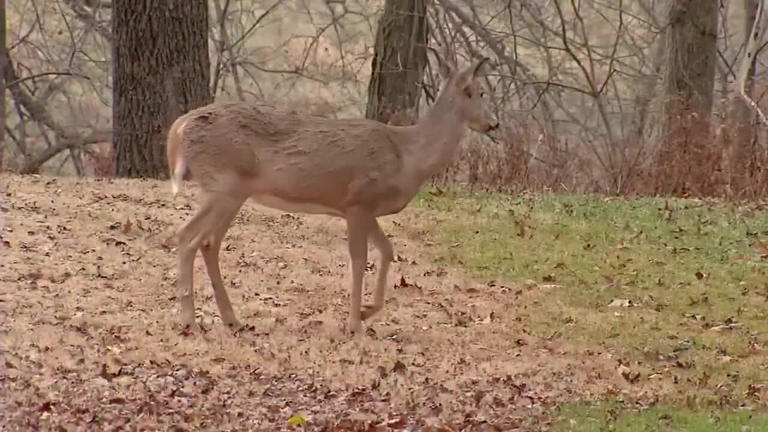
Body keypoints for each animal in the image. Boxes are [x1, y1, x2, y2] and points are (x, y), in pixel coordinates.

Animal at [165, 51, 498, 335]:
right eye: (478, 92)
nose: (494, 123)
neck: (409, 157)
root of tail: (179, 127)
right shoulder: (358, 200)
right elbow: (359, 259)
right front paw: (354, 324)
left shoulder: (365, 208)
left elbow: (387, 250)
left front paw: (367, 311)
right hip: (223, 186)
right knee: (188, 236)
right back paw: (190, 321)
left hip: (234, 193)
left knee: (209, 243)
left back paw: (232, 320)